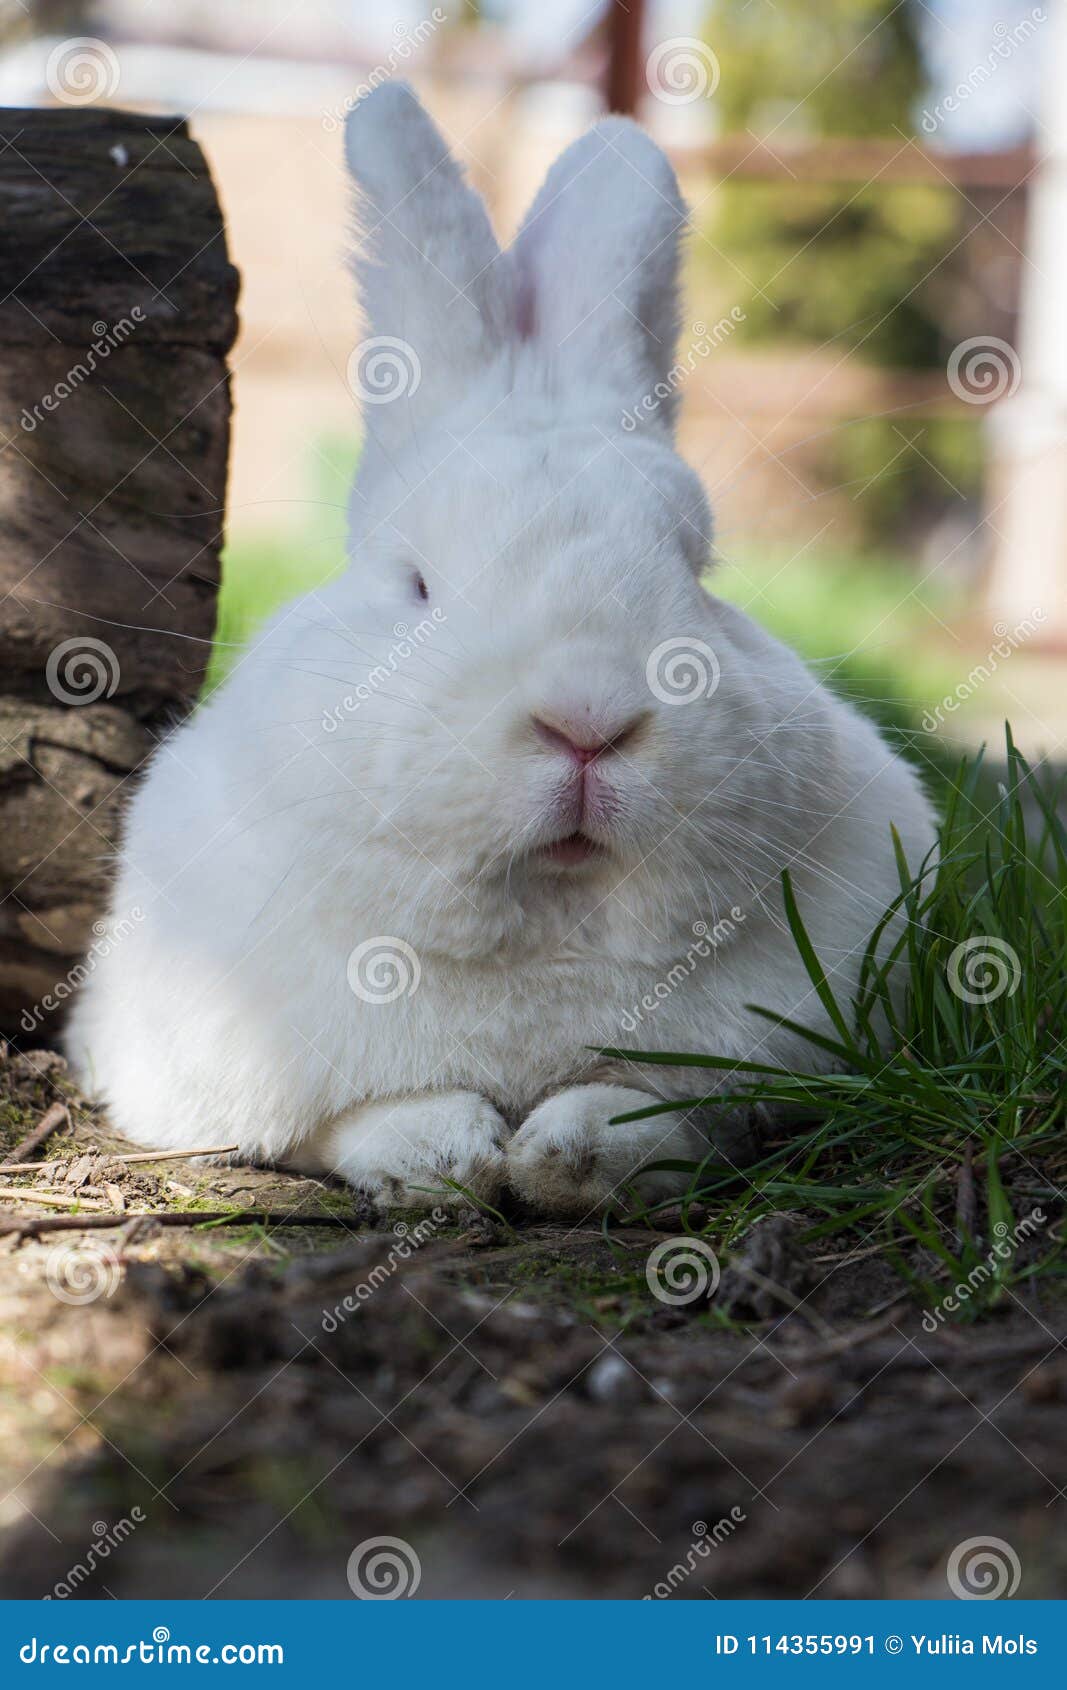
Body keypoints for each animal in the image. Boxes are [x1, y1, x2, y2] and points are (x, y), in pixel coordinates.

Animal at [65, 82, 937, 1221]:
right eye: (418, 584)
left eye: (695, 568)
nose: (586, 723)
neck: (547, 929)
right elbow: (356, 1118)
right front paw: (447, 1156)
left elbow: (666, 1114)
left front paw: (567, 1153)